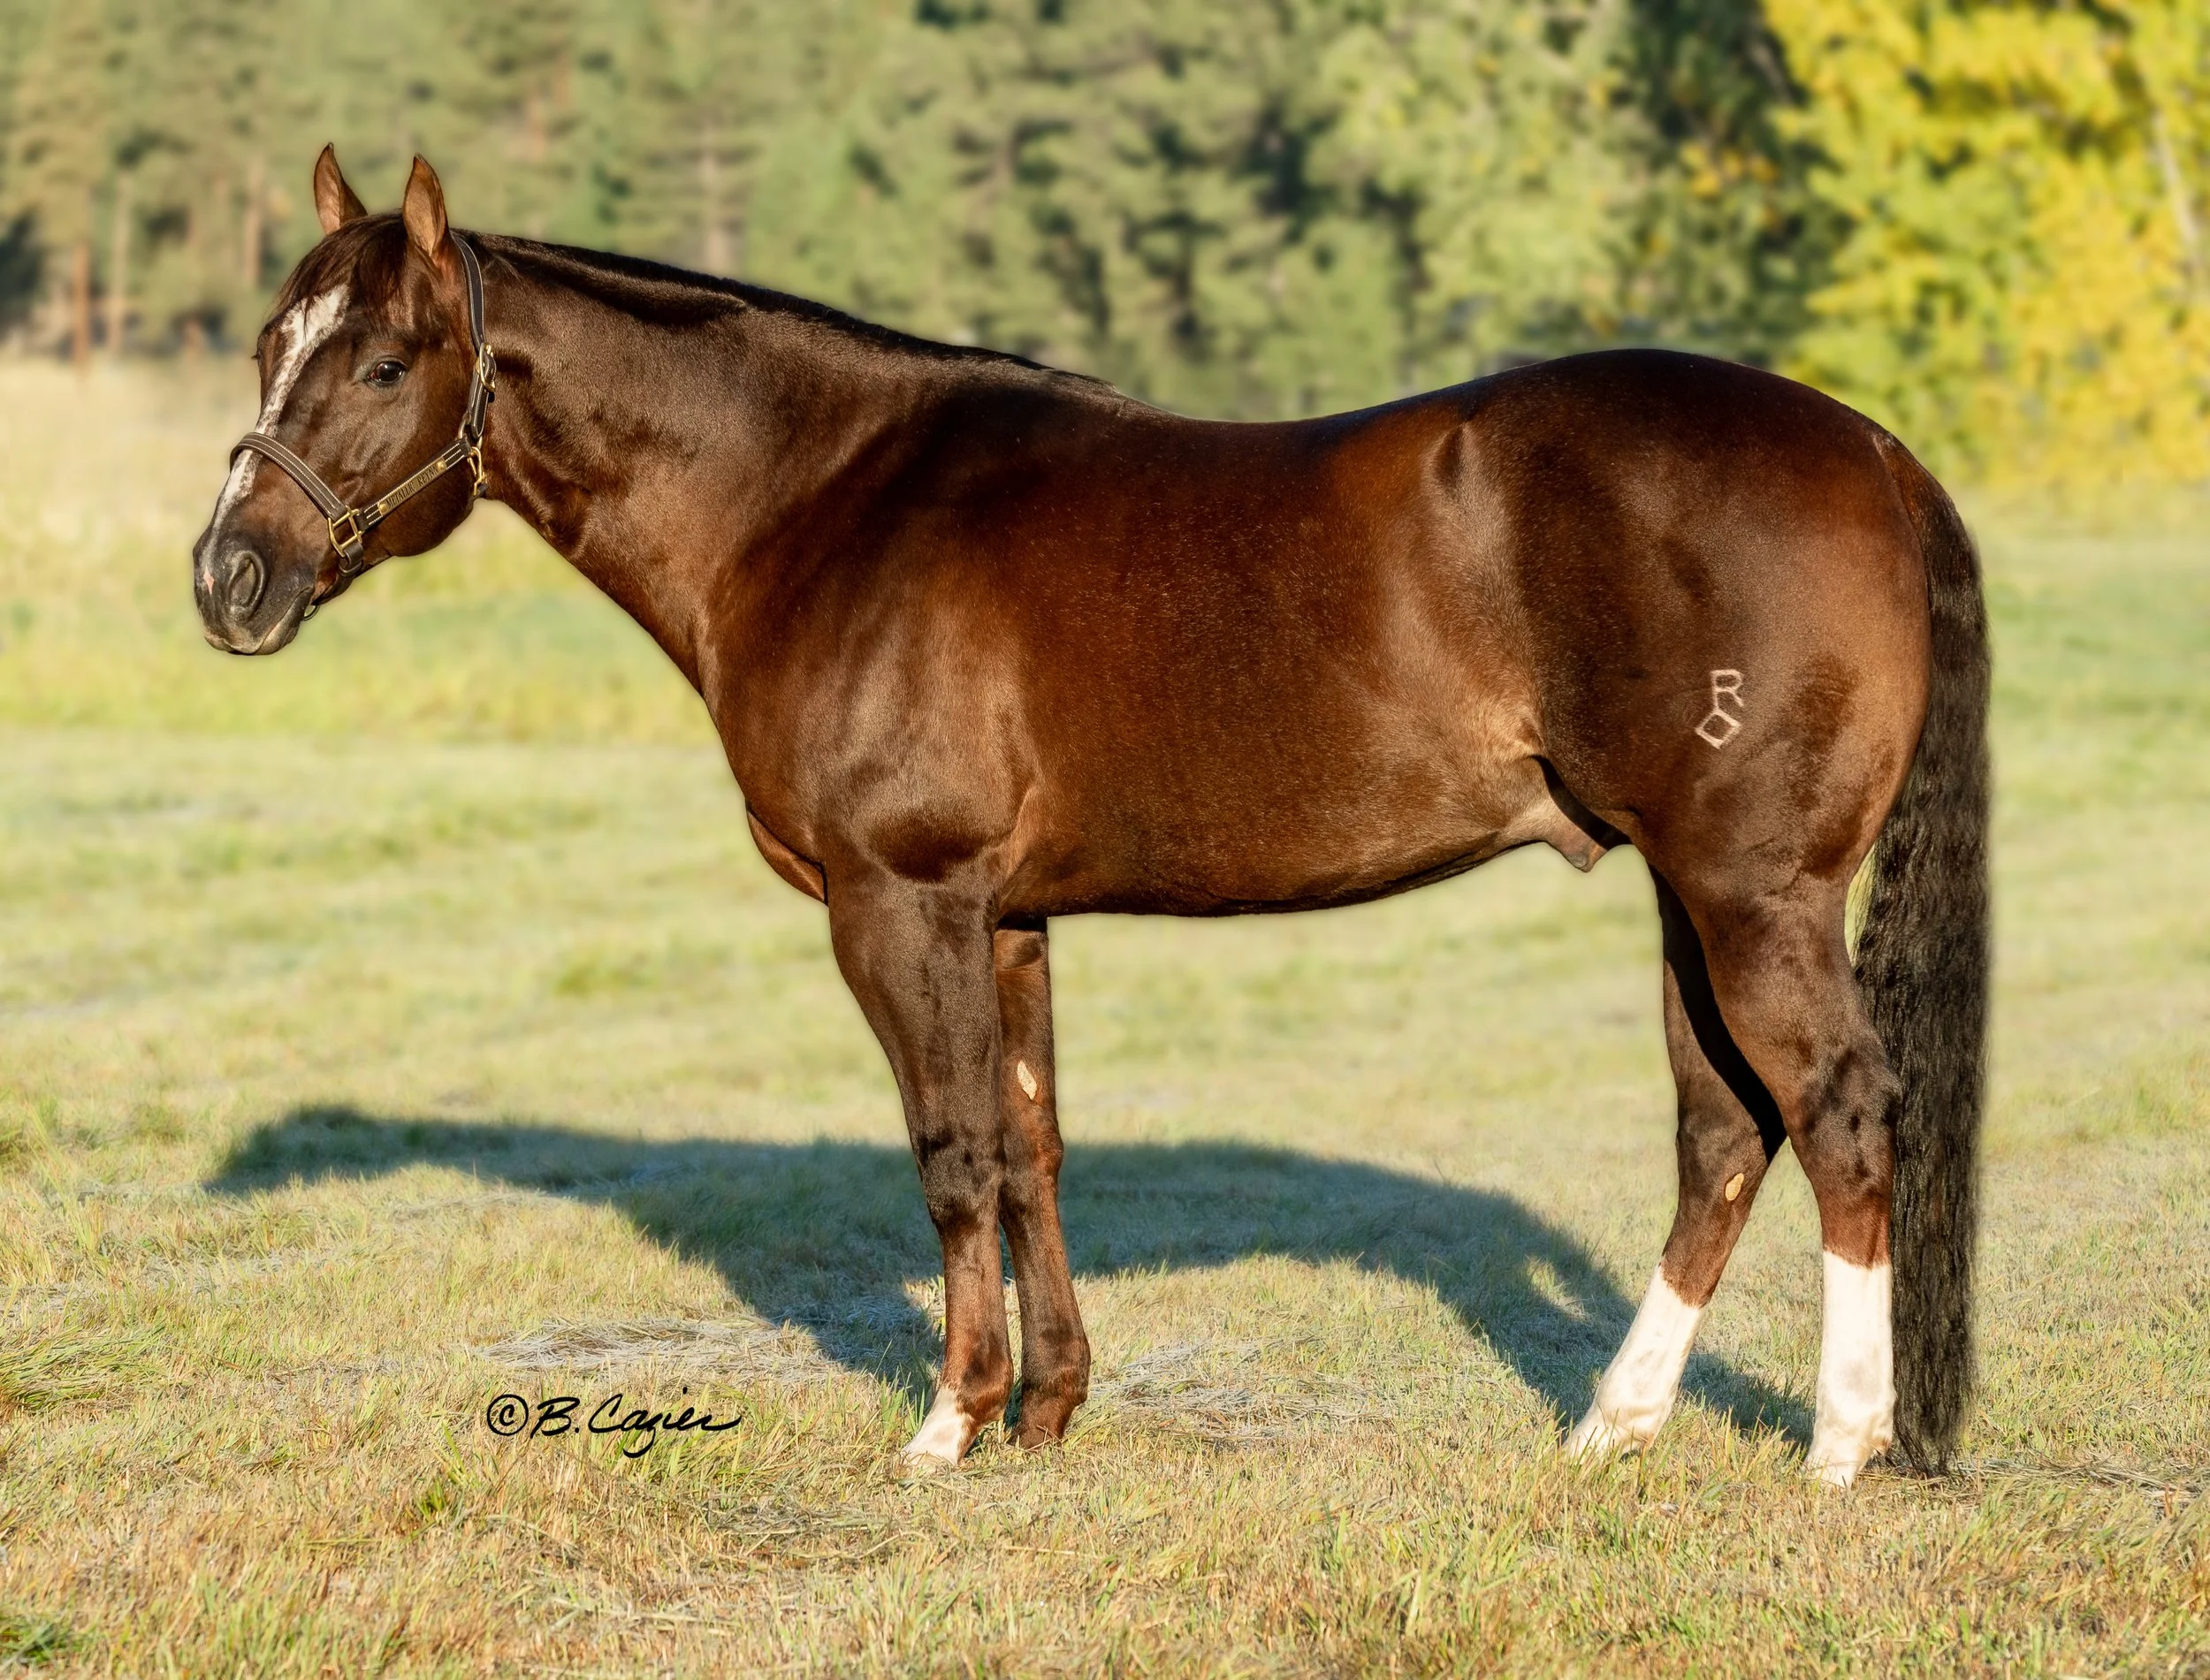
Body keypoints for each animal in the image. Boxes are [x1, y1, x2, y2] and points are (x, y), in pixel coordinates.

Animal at [192, 149, 1988, 1487]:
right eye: (268, 346)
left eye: (382, 360)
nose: (230, 578)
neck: (818, 499)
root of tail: (1876, 449)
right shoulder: (1006, 916)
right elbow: (1033, 1145)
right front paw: (1051, 1410)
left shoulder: (899, 900)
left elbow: (951, 1151)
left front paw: (949, 1423)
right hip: (1694, 897)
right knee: (1723, 1133)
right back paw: (1616, 1425)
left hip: (1752, 891)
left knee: (1837, 1110)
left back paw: (1840, 1445)